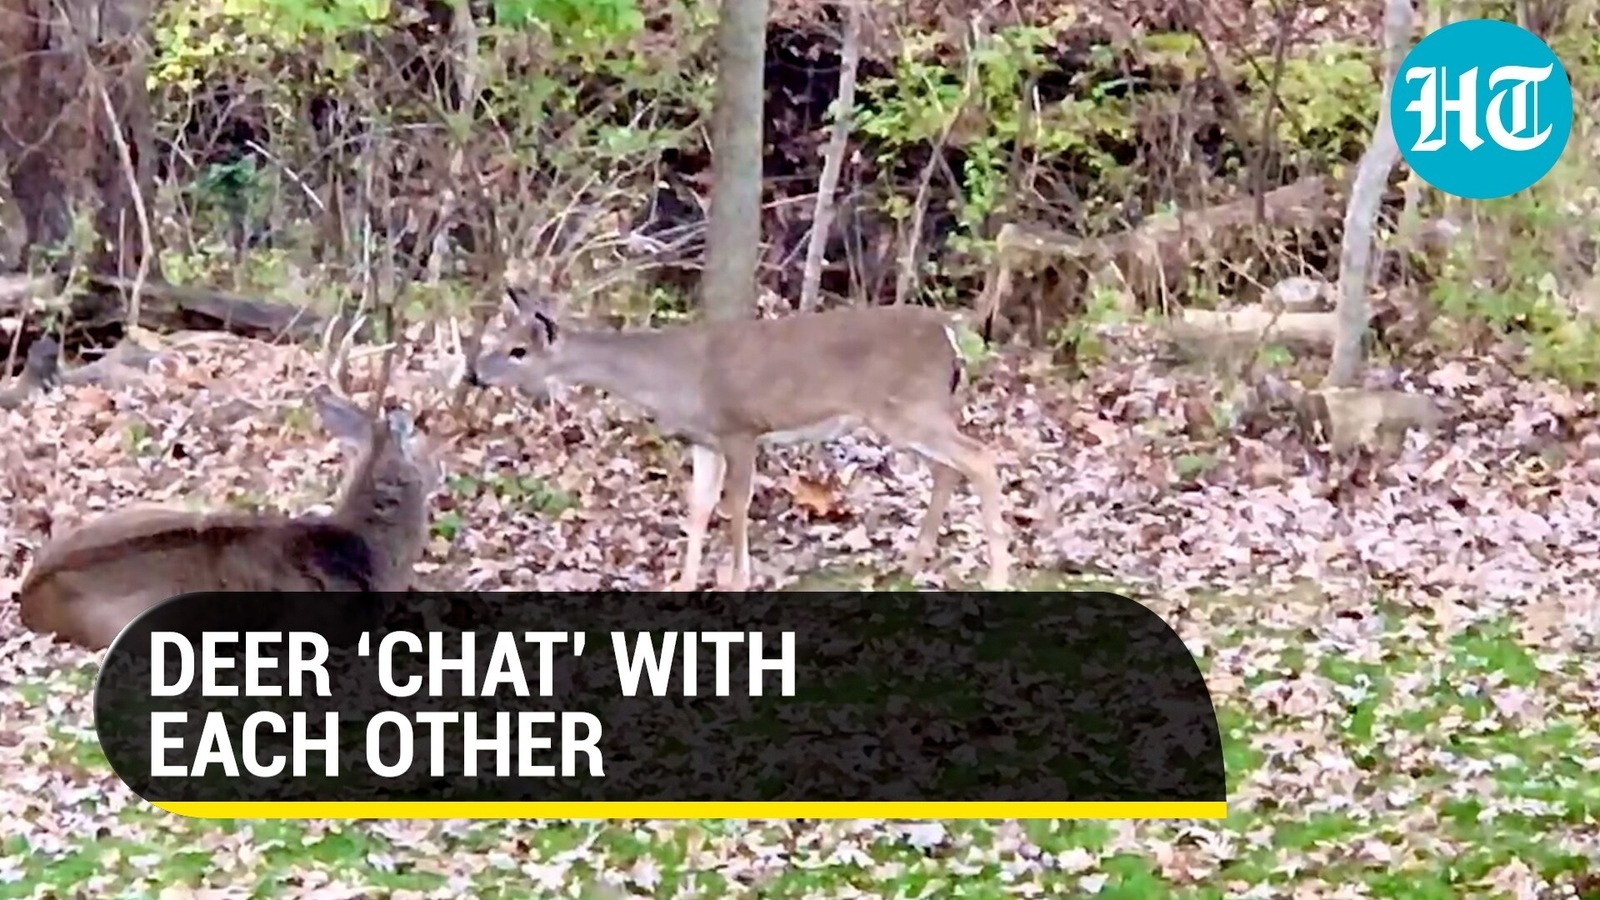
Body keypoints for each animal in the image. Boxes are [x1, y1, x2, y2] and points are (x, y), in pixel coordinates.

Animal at [465, 287, 1012, 592]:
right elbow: (699, 506)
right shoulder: (705, 439)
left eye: (517, 351)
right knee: (949, 468)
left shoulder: (740, 428)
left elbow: (737, 504)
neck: (671, 377)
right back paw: (914, 563)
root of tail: (951, 337)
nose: (473, 373)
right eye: (499, 339)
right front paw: (683, 582)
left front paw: (737, 579)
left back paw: (997, 576)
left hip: (907, 408)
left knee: (980, 457)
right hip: (913, 413)